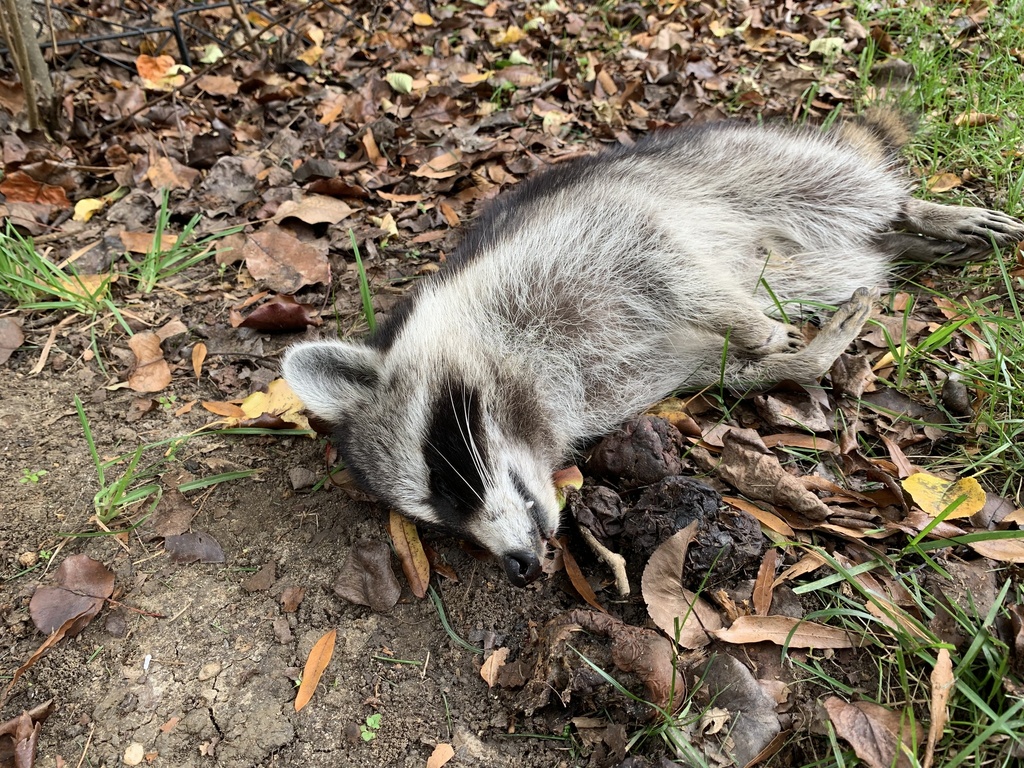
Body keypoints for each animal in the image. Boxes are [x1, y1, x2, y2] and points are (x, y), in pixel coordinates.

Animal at [283, 110, 1024, 586]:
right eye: (438, 523)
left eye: (444, 474)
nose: (518, 570)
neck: (530, 393)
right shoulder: (648, 368)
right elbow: (729, 371)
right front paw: (795, 360)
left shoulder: (569, 246)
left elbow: (658, 252)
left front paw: (749, 325)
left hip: (731, 163)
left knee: (830, 190)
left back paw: (915, 214)